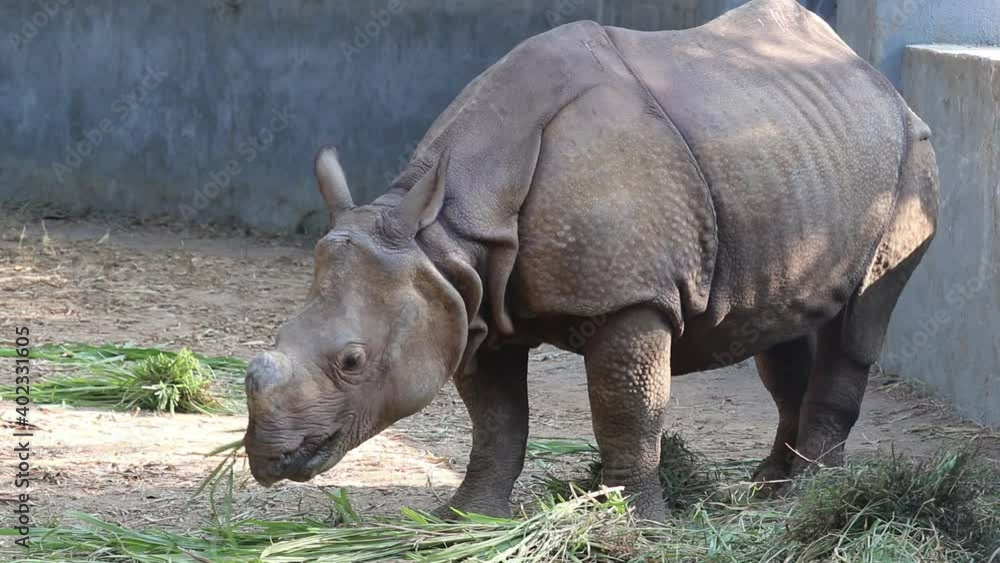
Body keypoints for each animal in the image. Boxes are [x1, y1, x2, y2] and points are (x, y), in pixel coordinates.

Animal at [243, 0, 938, 521]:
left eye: (352, 362)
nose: (268, 460)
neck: (449, 226)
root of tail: (875, 78)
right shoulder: (468, 297)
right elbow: (496, 420)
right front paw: (466, 517)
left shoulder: (629, 296)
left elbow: (627, 409)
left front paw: (638, 522)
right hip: (797, 160)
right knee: (782, 326)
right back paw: (770, 485)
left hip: (910, 159)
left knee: (860, 319)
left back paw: (811, 495)